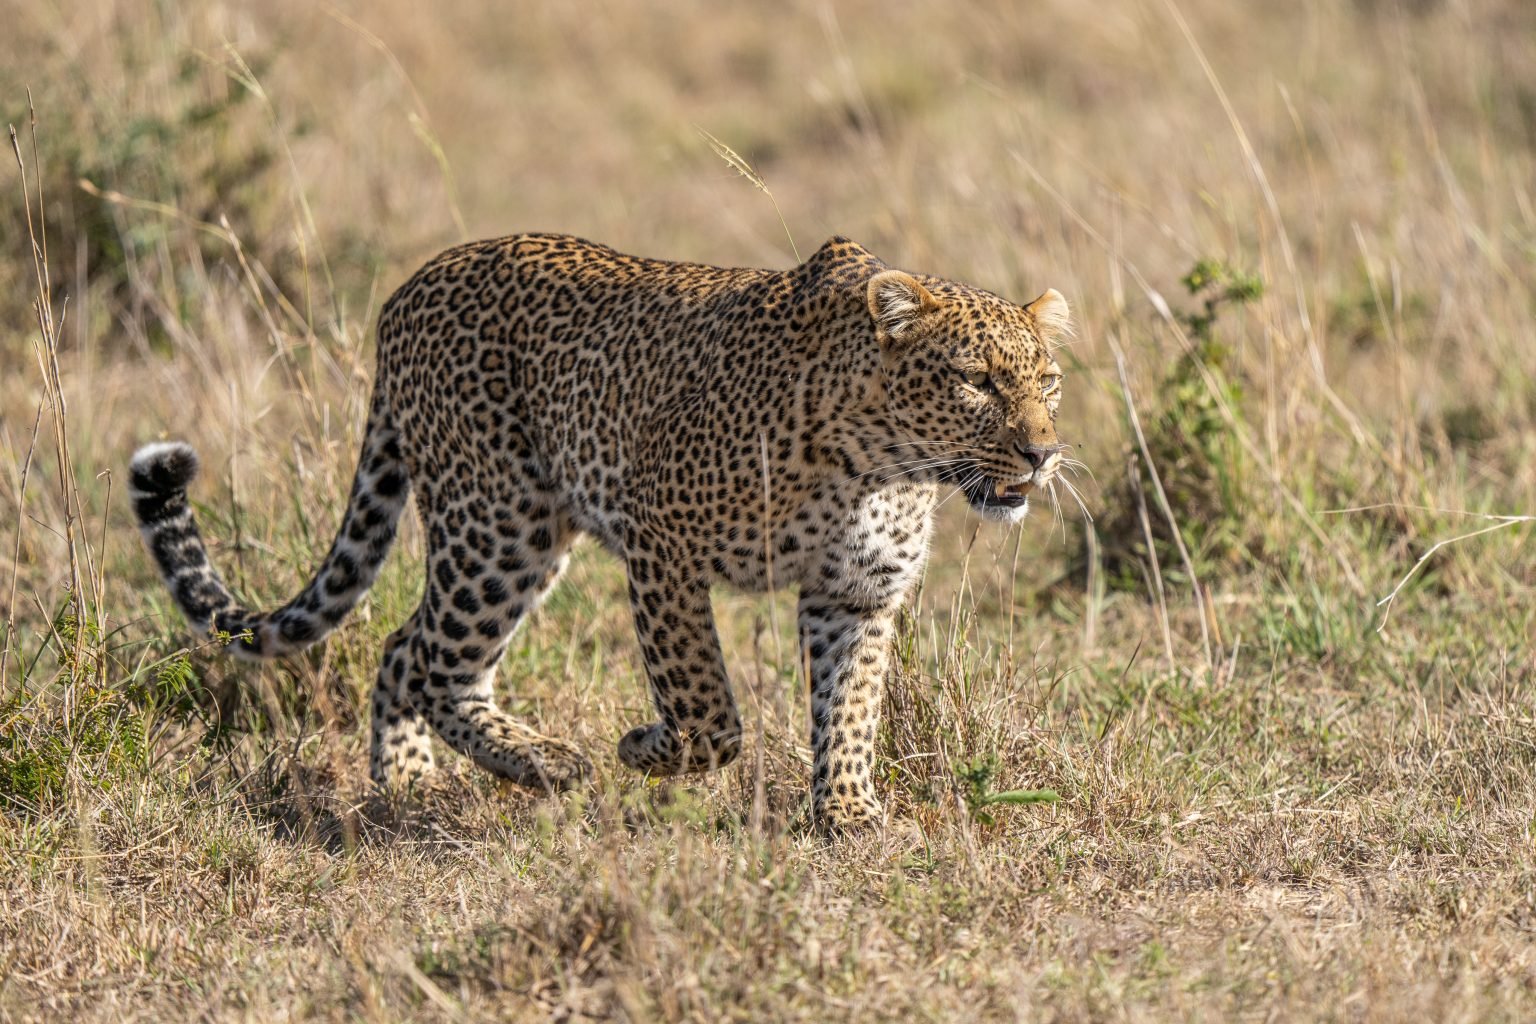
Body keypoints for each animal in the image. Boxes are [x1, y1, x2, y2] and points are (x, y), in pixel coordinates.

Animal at [128, 233, 1072, 831]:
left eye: (1049, 381)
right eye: (977, 381)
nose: (1044, 452)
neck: (882, 462)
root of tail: (405, 291)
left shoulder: (855, 592)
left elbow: (850, 708)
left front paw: (848, 814)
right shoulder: (661, 538)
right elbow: (707, 706)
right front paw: (647, 748)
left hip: (517, 534)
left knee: (404, 650)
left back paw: (416, 789)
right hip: (496, 520)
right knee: (429, 657)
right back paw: (539, 764)